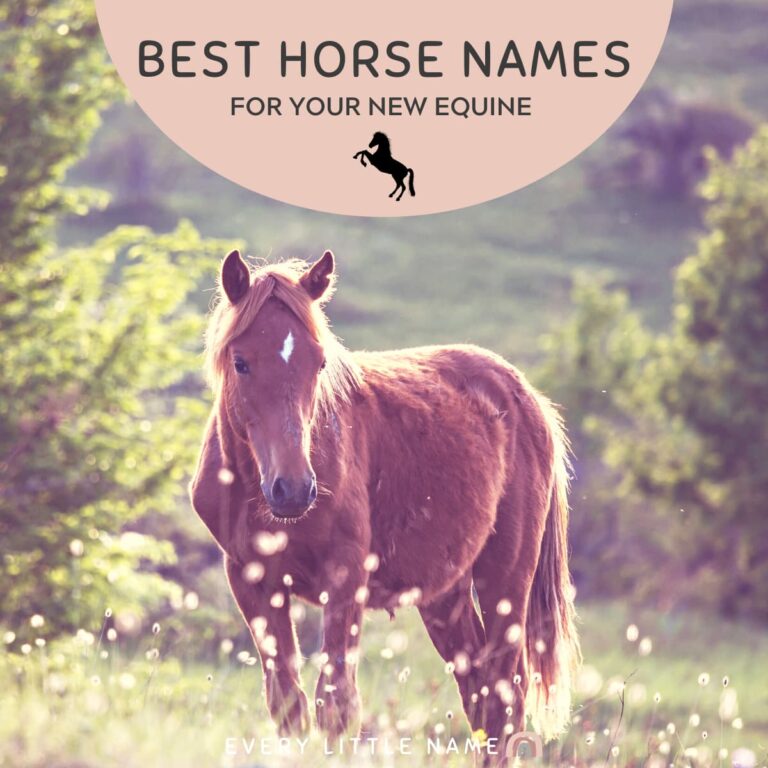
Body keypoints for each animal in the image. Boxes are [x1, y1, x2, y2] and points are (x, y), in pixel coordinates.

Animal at [189, 249, 580, 758]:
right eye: (241, 362)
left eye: (319, 363)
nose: (292, 489)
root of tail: (528, 399)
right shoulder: (252, 581)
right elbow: (288, 704)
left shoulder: (345, 579)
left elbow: (336, 705)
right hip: (446, 596)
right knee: (480, 695)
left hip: (506, 578)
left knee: (503, 700)